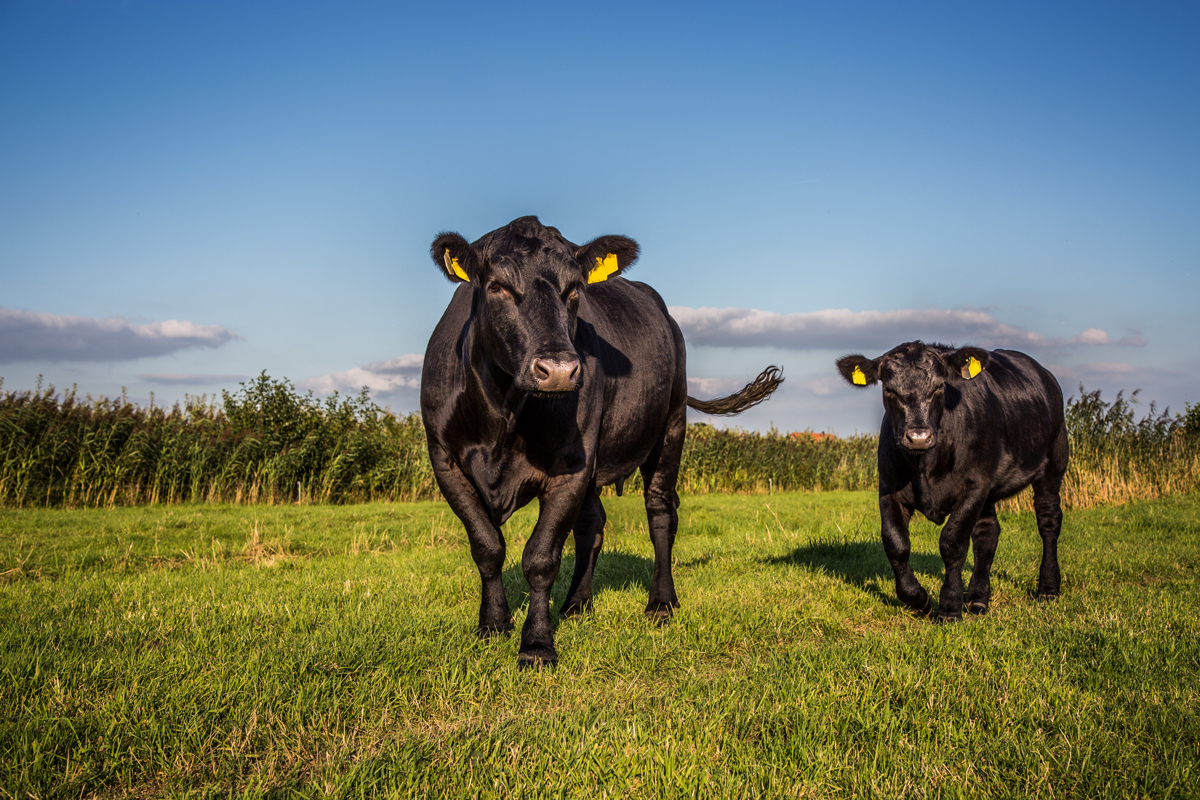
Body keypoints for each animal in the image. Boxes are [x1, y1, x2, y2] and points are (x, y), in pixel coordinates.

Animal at [421, 216, 782, 668]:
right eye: (497, 286)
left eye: (575, 288)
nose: (558, 370)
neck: (503, 413)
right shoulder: (445, 461)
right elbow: (487, 546)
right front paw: (492, 625)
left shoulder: (571, 467)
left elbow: (541, 557)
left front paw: (536, 645)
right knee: (591, 525)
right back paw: (577, 604)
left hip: (671, 427)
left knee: (661, 513)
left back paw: (661, 602)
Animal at [836, 341, 1068, 622]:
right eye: (889, 389)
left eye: (939, 386)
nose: (918, 437)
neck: (924, 467)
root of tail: (1044, 373)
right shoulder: (888, 488)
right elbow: (896, 543)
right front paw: (919, 599)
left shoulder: (973, 488)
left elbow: (953, 542)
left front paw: (949, 608)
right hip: (989, 488)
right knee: (987, 533)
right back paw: (978, 599)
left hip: (1054, 465)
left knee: (1048, 523)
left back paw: (1048, 588)